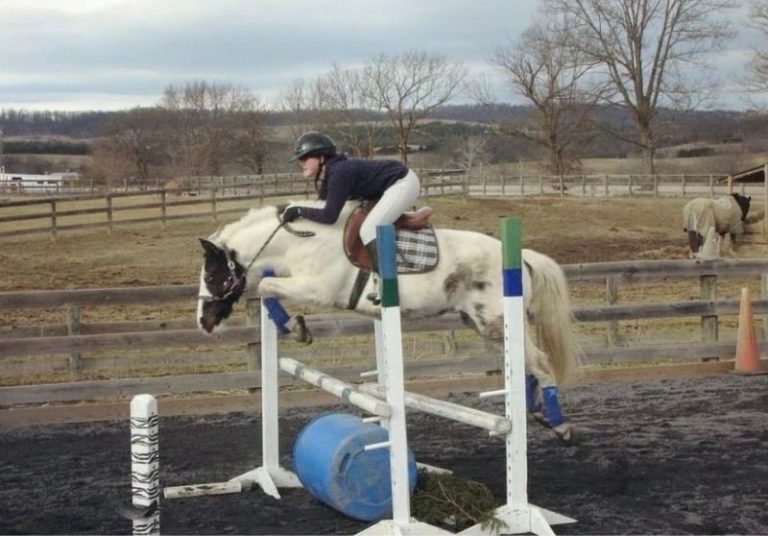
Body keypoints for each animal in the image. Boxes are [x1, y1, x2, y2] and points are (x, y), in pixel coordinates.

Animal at [196, 201, 582, 443]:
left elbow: (264, 285)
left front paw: (296, 328)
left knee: (540, 362)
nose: (203, 322)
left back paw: (561, 427)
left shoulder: (318, 289)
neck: (299, 242)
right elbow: (266, 287)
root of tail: (524, 257)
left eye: (212, 276)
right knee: (525, 364)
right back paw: (539, 413)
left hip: (492, 321)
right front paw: (295, 328)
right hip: (482, 323)